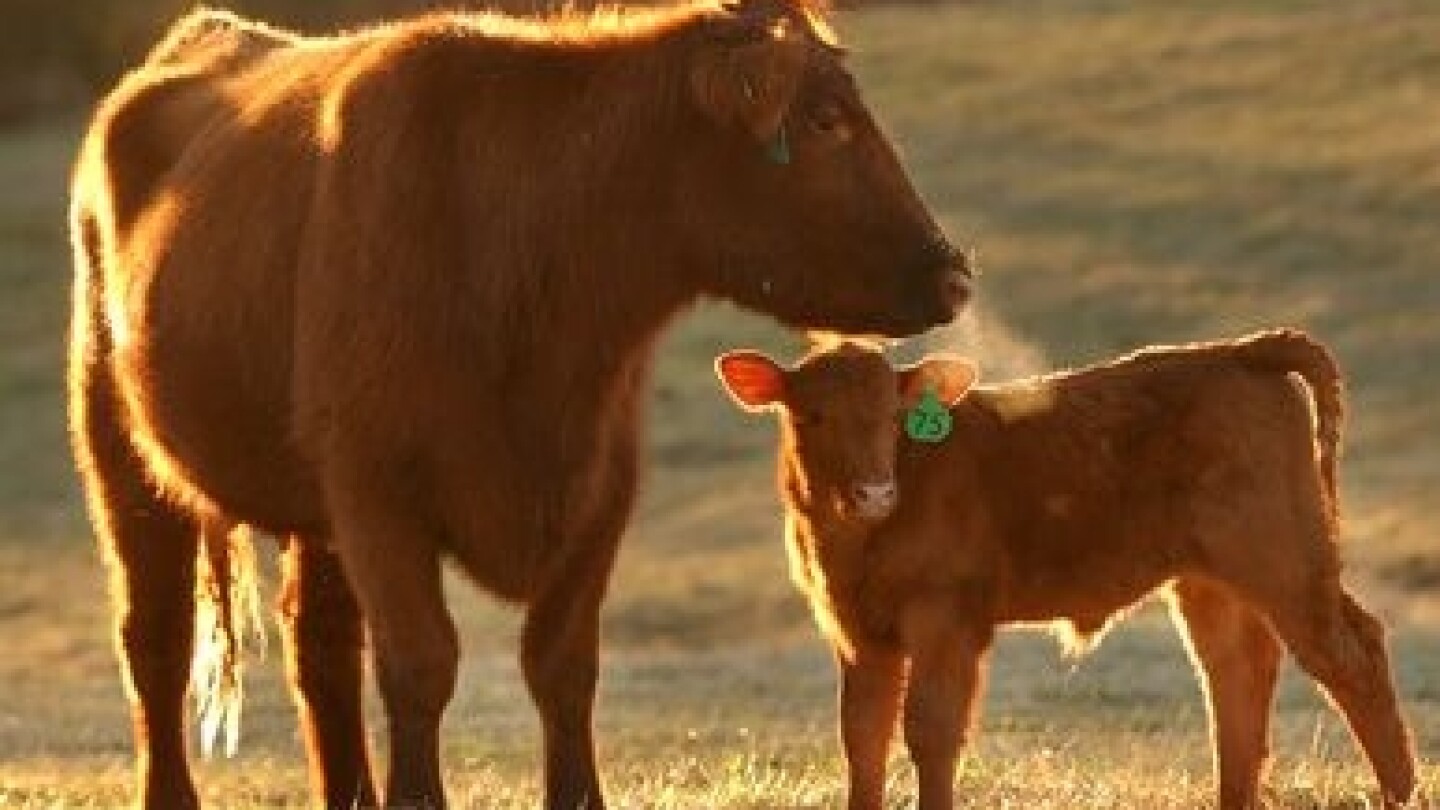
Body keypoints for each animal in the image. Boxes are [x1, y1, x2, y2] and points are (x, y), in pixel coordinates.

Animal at [66, 0, 972, 806]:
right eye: (825, 121)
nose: (954, 274)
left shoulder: (601, 493)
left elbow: (562, 666)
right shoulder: (377, 495)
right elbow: (421, 663)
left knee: (318, 649)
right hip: (120, 452)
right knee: (155, 639)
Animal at [715, 330, 1416, 809]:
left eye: (894, 415)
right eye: (812, 415)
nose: (874, 493)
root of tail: (1237, 351)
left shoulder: (946, 622)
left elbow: (930, 730)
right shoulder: (859, 632)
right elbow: (863, 736)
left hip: (1284, 562)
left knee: (1350, 657)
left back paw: (1399, 794)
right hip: (1211, 582)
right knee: (1237, 674)